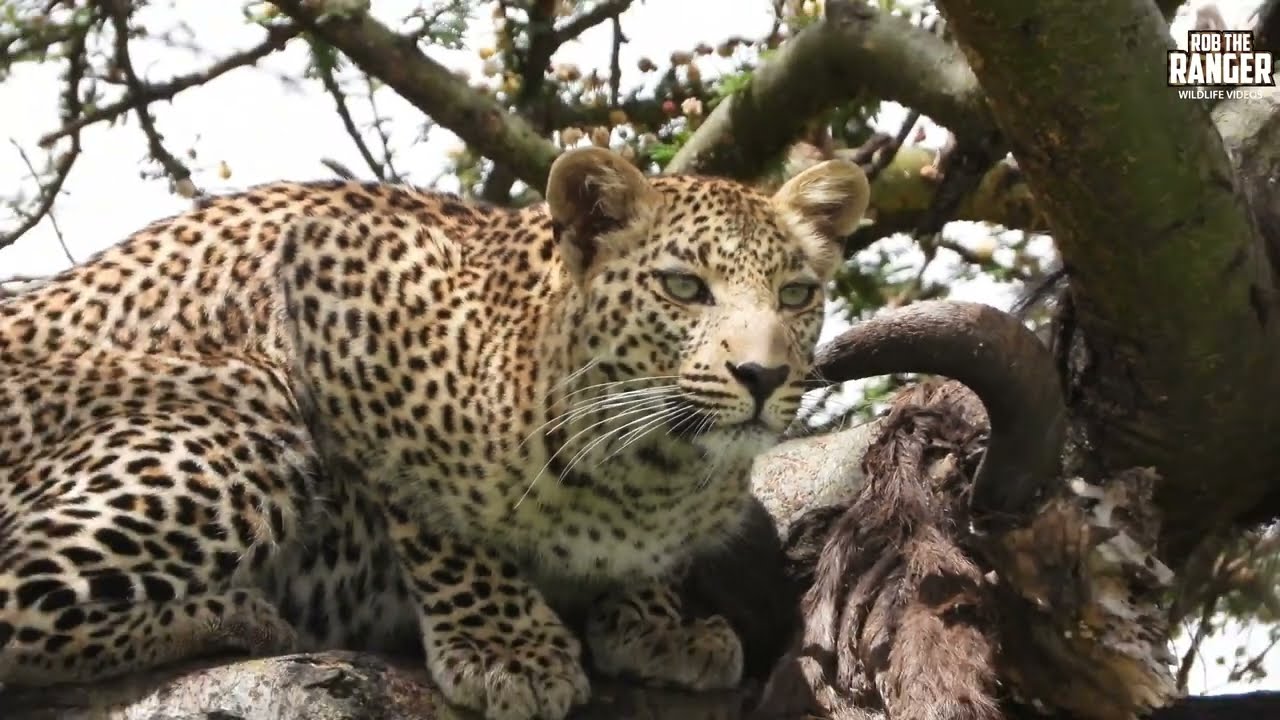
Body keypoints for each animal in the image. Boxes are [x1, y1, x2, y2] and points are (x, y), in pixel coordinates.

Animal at [0, 146, 870, 719]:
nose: (762, 376)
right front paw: (505, 649)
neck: (649, 471)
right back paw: (234, 615)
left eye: (796, 295)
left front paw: (655, 622)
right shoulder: (329, 274)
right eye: (683, 287)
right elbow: (434, 512)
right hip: (255, 415)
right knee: (15, 607)